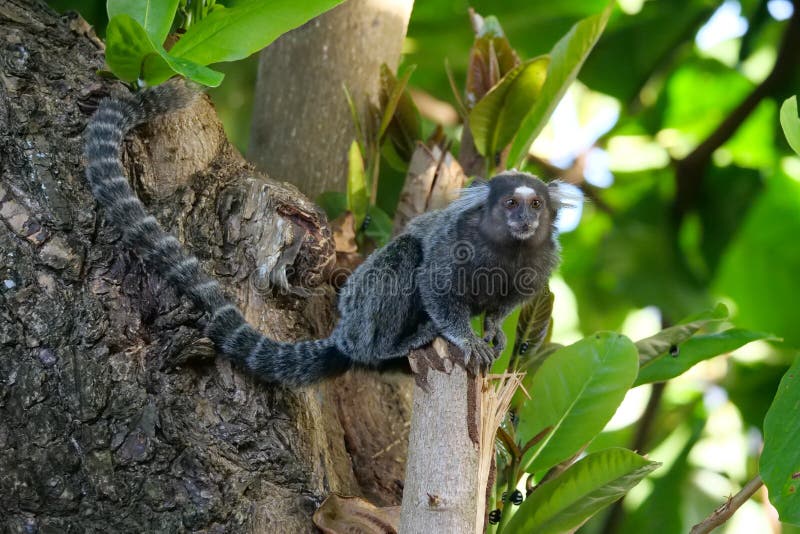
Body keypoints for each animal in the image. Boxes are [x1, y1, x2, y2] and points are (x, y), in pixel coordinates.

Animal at [84, 82, 571, 387]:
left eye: (535, 205)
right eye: (510, 204)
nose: (524, 219)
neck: (506, 250)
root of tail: (344, 335)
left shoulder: (538, 264)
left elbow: (504, 305)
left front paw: (493, 331)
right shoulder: (456, 245)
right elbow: (436, 285)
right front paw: (466, 339)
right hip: (361, 312)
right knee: (402, 260)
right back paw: (397, 343)